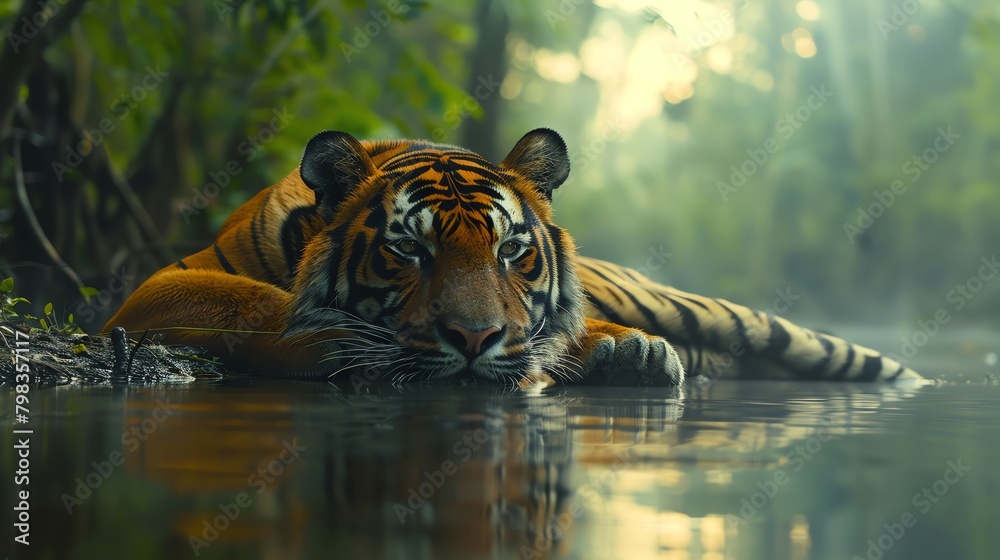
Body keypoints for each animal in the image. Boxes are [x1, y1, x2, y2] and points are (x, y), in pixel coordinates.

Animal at [103, 128, 923, 386]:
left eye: (512, 253)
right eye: (407, 251)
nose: (474, 340)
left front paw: (620, 353)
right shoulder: (157, 286)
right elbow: (256, 305)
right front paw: (330, 338)